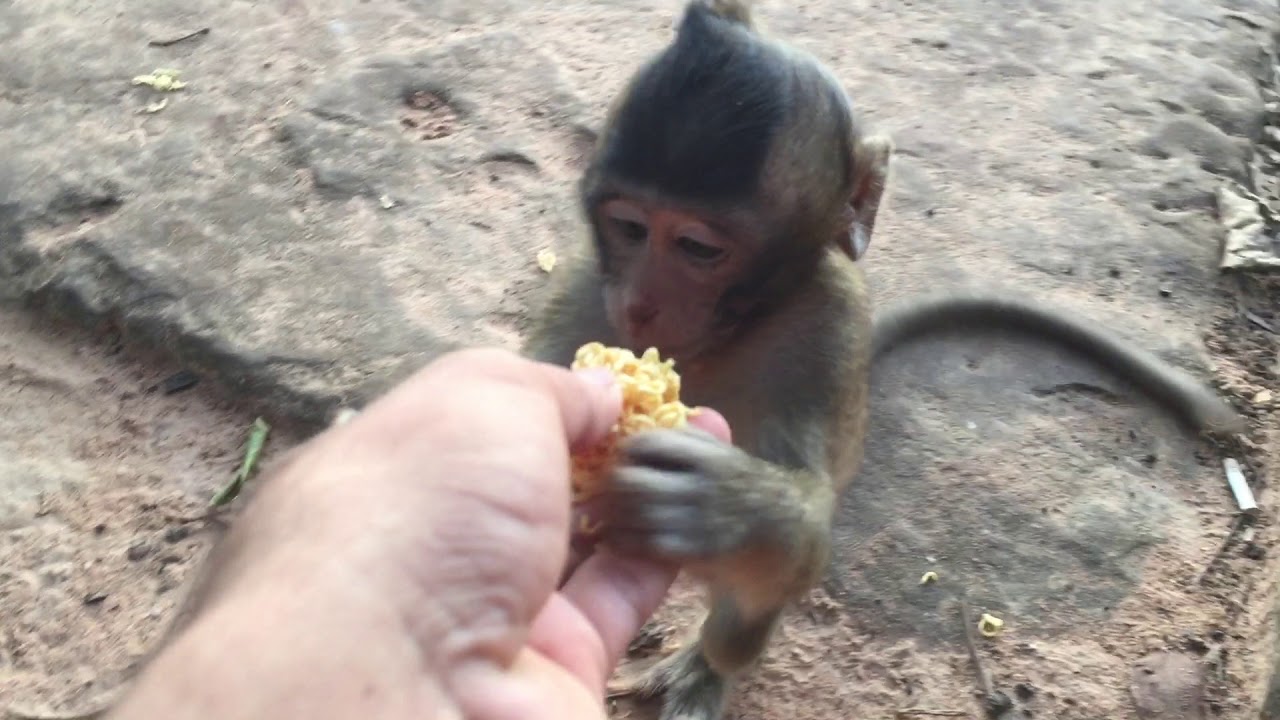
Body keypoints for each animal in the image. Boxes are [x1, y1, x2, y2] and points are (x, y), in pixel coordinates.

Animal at [521, 1, 1243, 719]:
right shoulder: (584, 289)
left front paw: (730, 509)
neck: (726, 333)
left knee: (748, 604)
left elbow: (803, 536)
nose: (640, 304)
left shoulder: (830, 324)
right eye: (630, 228)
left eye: (698, 248)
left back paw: (709, 662)